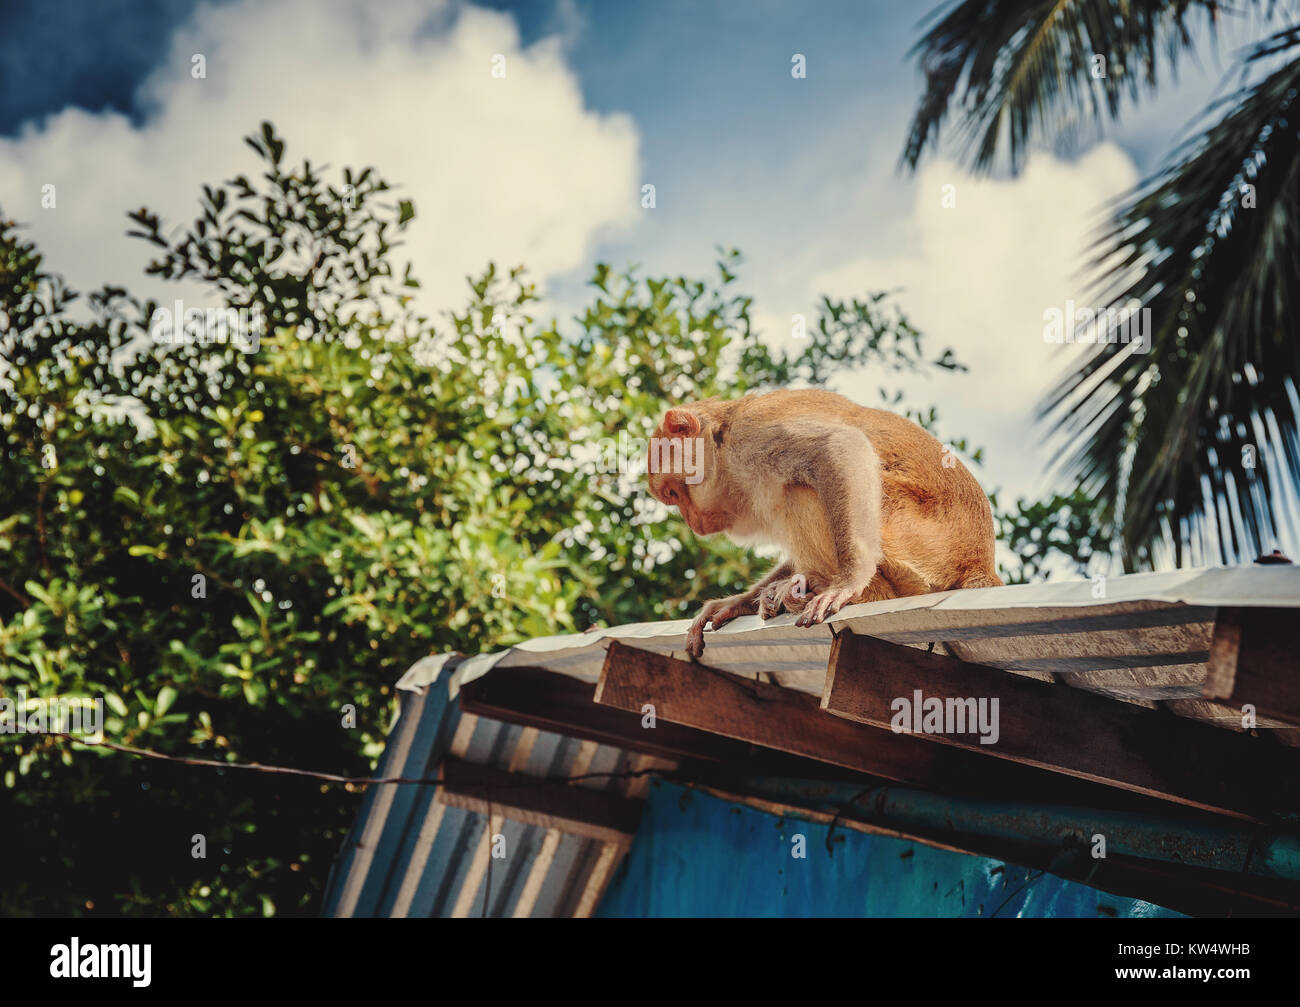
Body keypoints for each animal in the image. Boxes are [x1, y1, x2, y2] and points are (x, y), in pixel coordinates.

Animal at [646, 388, 1003, 657]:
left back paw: (854, 592)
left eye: (673, 493)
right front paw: (733, 603)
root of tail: (980, 560)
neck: (724, 436)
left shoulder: (752, 437)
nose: (694, 524)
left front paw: (848, 582)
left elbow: (839, 447)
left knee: (799, 488)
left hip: (917, 537)